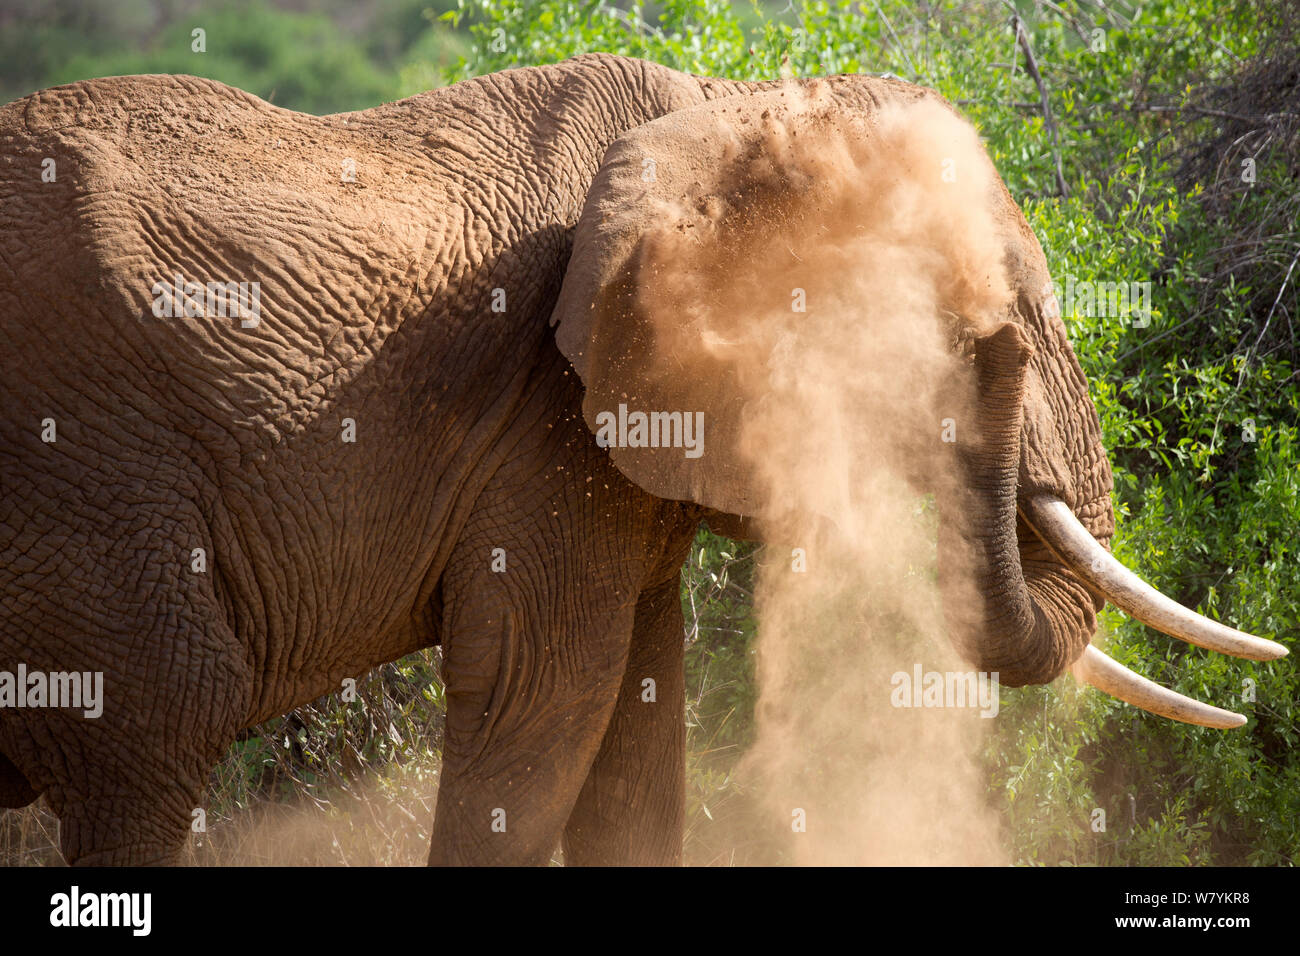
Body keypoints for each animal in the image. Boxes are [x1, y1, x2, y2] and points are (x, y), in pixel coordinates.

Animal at [0, 52, 1286, 866]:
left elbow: (636, 722)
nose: (997, 346)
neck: (746, 111)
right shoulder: (541, 423)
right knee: (161, 726)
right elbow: (545, 696)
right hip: (89, 491)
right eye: (997, 309)